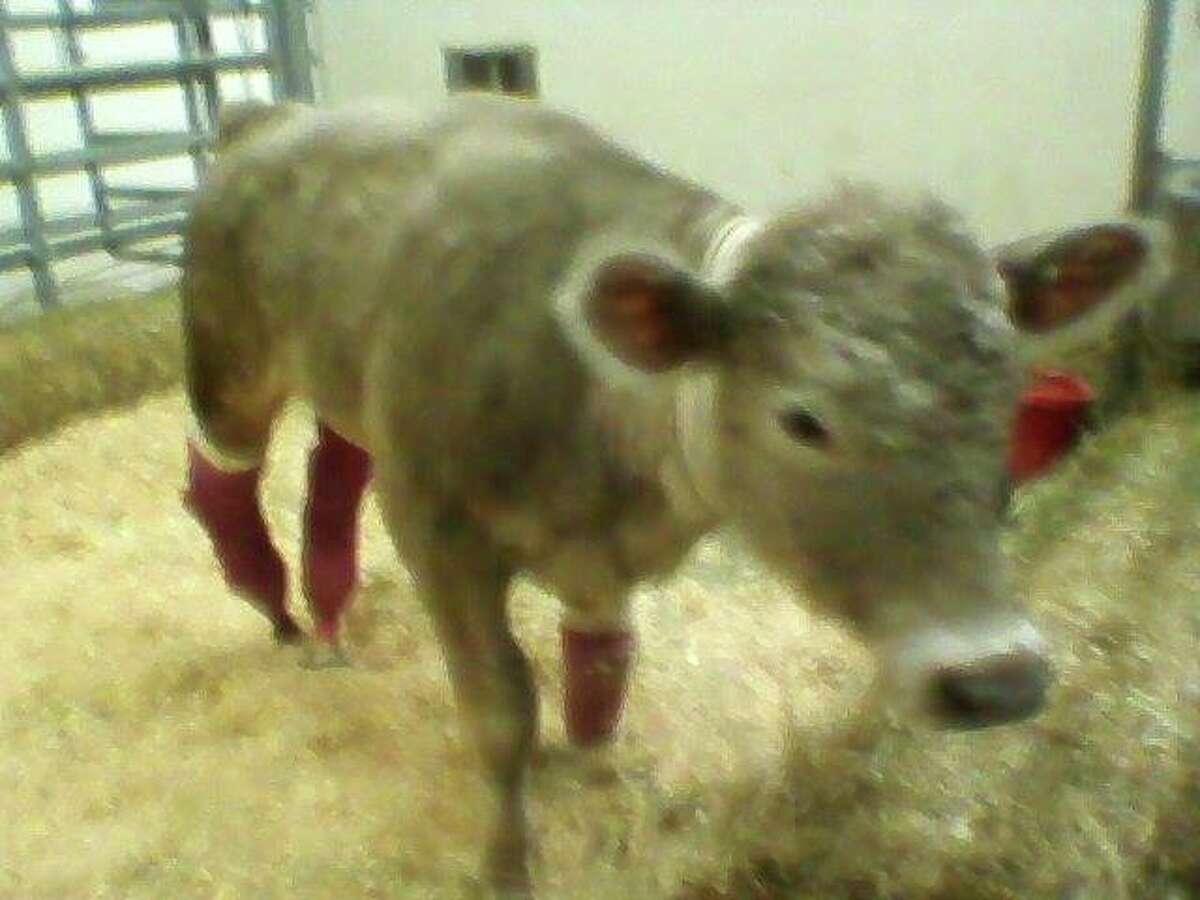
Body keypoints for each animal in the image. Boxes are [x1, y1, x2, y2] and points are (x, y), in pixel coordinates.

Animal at [181, 95, 1052, 895]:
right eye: (804, 419)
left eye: (1011, 391)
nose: (996, 677)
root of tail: (269, 113)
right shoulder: (436, 527)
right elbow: (502, 709)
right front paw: (506, 862)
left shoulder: (603, 561)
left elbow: (601, 673)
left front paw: (591, 779)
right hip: (229, 366)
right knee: (221, 477)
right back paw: (275, 606)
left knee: (334, 468)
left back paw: (328, 608)